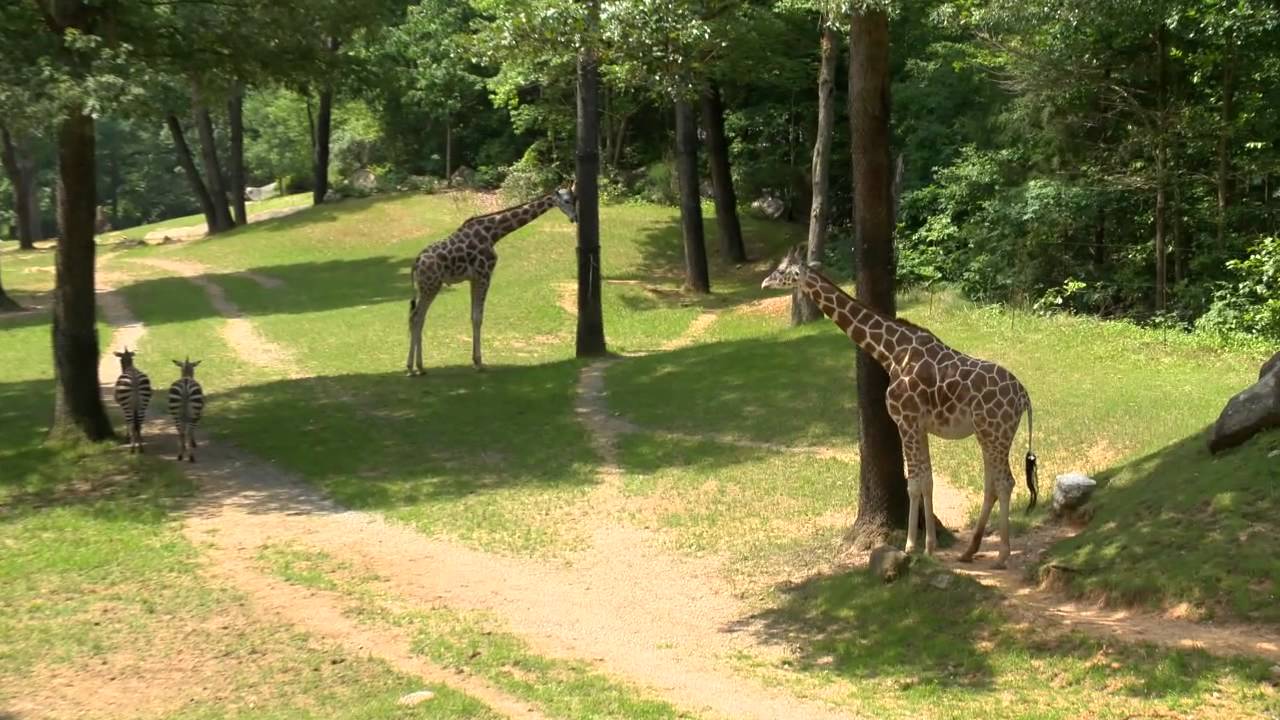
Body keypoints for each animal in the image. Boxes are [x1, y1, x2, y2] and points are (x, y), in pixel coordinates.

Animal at [406, 187, 577, 376]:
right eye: (566, 201)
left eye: (575, 198)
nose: (574, 217)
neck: (494, 233)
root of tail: (416, 263)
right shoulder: (484, 274)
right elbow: (478, 317)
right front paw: (480, 363)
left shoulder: (474, 278)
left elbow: (473, 316)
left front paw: (475, 361)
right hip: (431, 286)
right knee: (416, 317)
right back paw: (412, 367)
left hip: (426, 287)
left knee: (418, 318)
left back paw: (419, 367)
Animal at [761, 244, 1038, 568]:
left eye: (782, 271)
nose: (764, 282)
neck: (890, 352)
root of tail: (1024, 396)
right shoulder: (920, 424)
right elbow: (927, 480)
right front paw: (929, 547)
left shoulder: (906, 419)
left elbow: (914, 482)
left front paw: (910, 546)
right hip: (990, 435)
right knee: (992, 484)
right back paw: (970, 550)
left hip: (995, 432)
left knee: (1005, 482)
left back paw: (1002, 554)